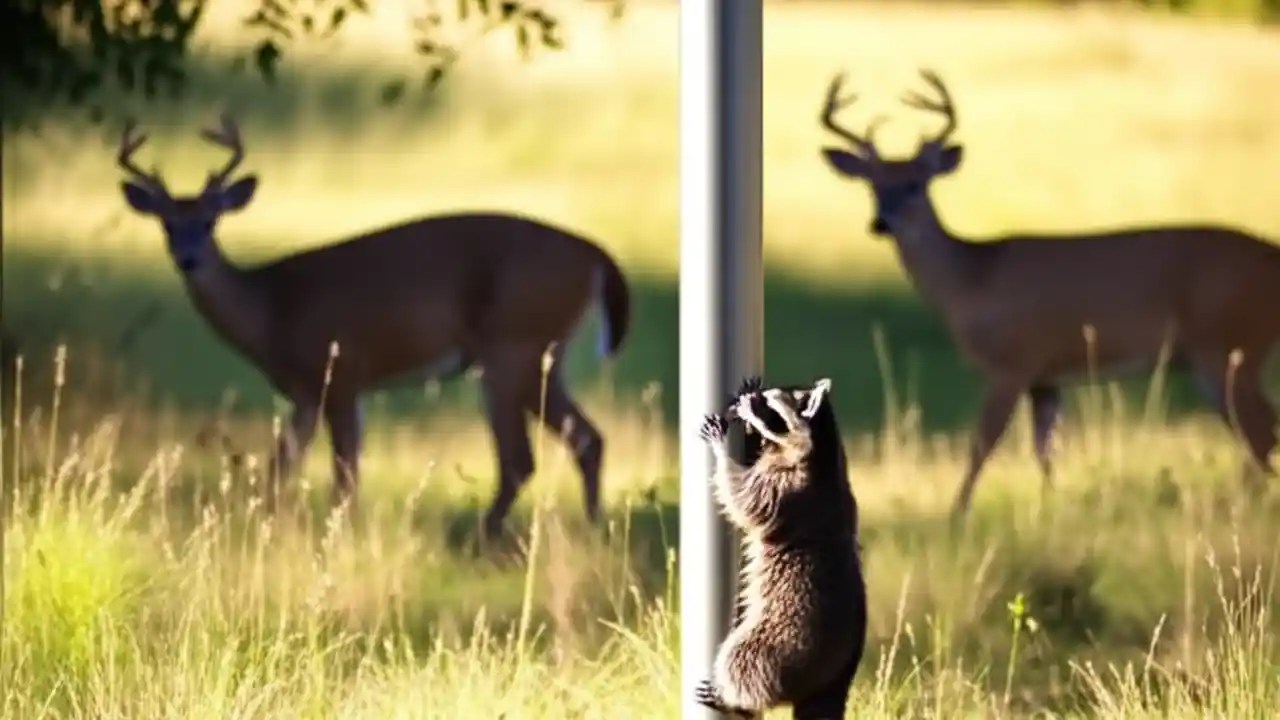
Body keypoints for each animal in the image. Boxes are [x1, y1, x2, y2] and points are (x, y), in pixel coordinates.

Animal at [116, 115, 631, 540]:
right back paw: (591, 528)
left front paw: (335, 536)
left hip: (513, 347)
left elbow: (344, 473)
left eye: (210, 221)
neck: (272, 309)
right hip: (543, 354)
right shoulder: (306, 393)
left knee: (521, 458)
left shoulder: (341, 372)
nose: (189, 259)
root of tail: (595, 254)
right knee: (587, 440)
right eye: (166, 225)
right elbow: (282, 466)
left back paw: (488, 536)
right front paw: (269, 525)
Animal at [695, 376, 867, 720]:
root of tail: (835, 677)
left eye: (768, 402)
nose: (742, 402)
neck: (825, 449)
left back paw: (732, 696)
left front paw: (722, 449)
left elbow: (742, 497)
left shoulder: (787, 490)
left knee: (744, 661)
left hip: (783, 643)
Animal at [817, 69, 1280, 518]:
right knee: (1262, 431)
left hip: (1229, 344)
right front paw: (1051, 510)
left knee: (1260, 432)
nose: (880, 223)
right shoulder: (1046, 378)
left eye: (916, 184)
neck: (973, 277)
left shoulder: (1013, 363)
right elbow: (1045, 452)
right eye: (872, 185)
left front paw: (956, 517)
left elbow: (981, 445)